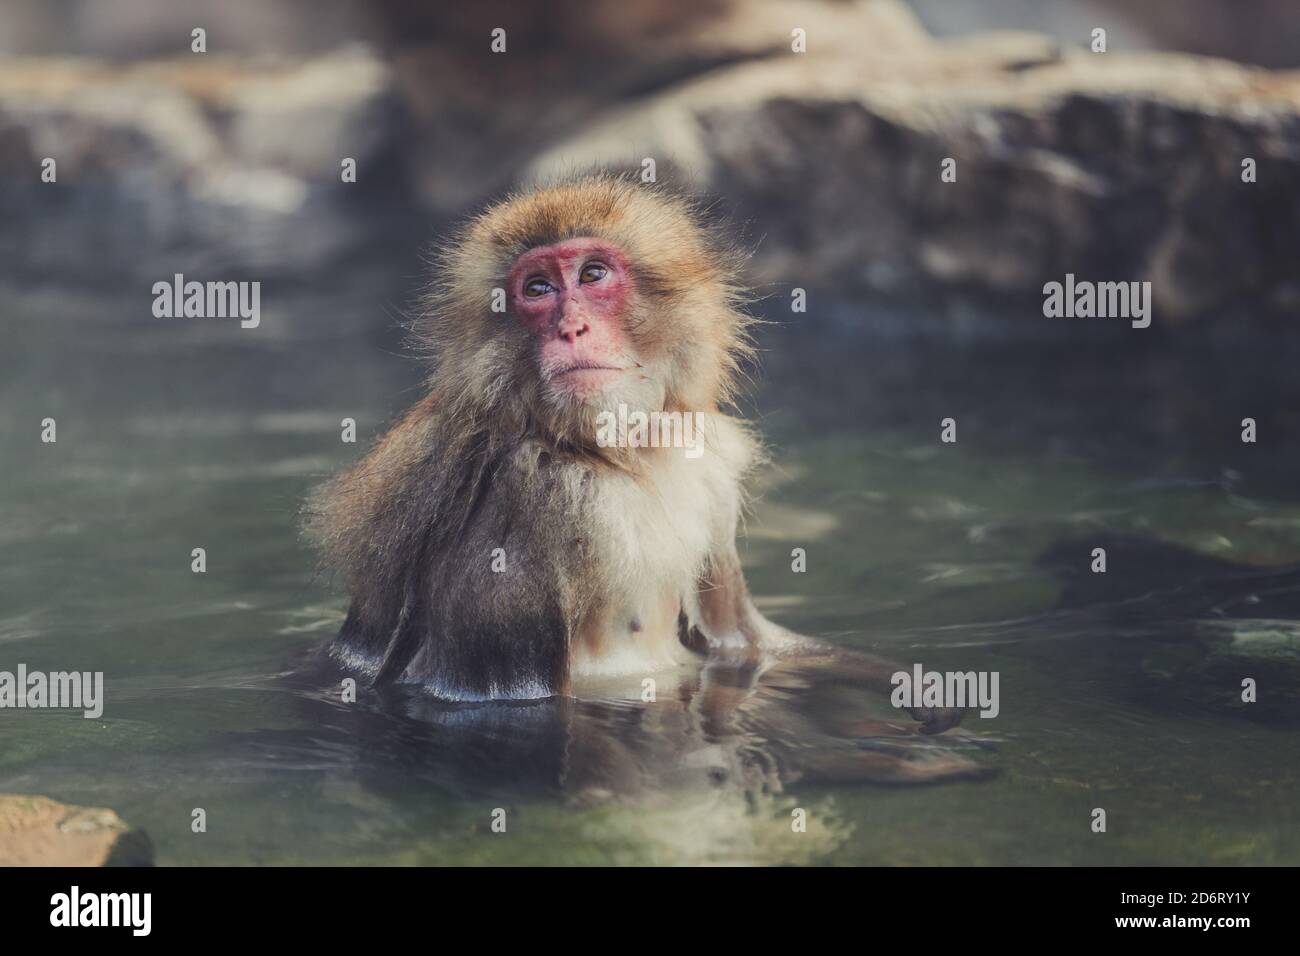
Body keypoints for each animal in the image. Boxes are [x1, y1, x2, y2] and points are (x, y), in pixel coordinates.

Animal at [306, 173, 985, 785]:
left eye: (592, 276)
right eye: (537, 288)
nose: (570, 328)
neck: (617, 457)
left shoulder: (705, 462)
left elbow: (742, 643)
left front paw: (922, 690)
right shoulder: (528, 495)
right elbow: (513, 707)